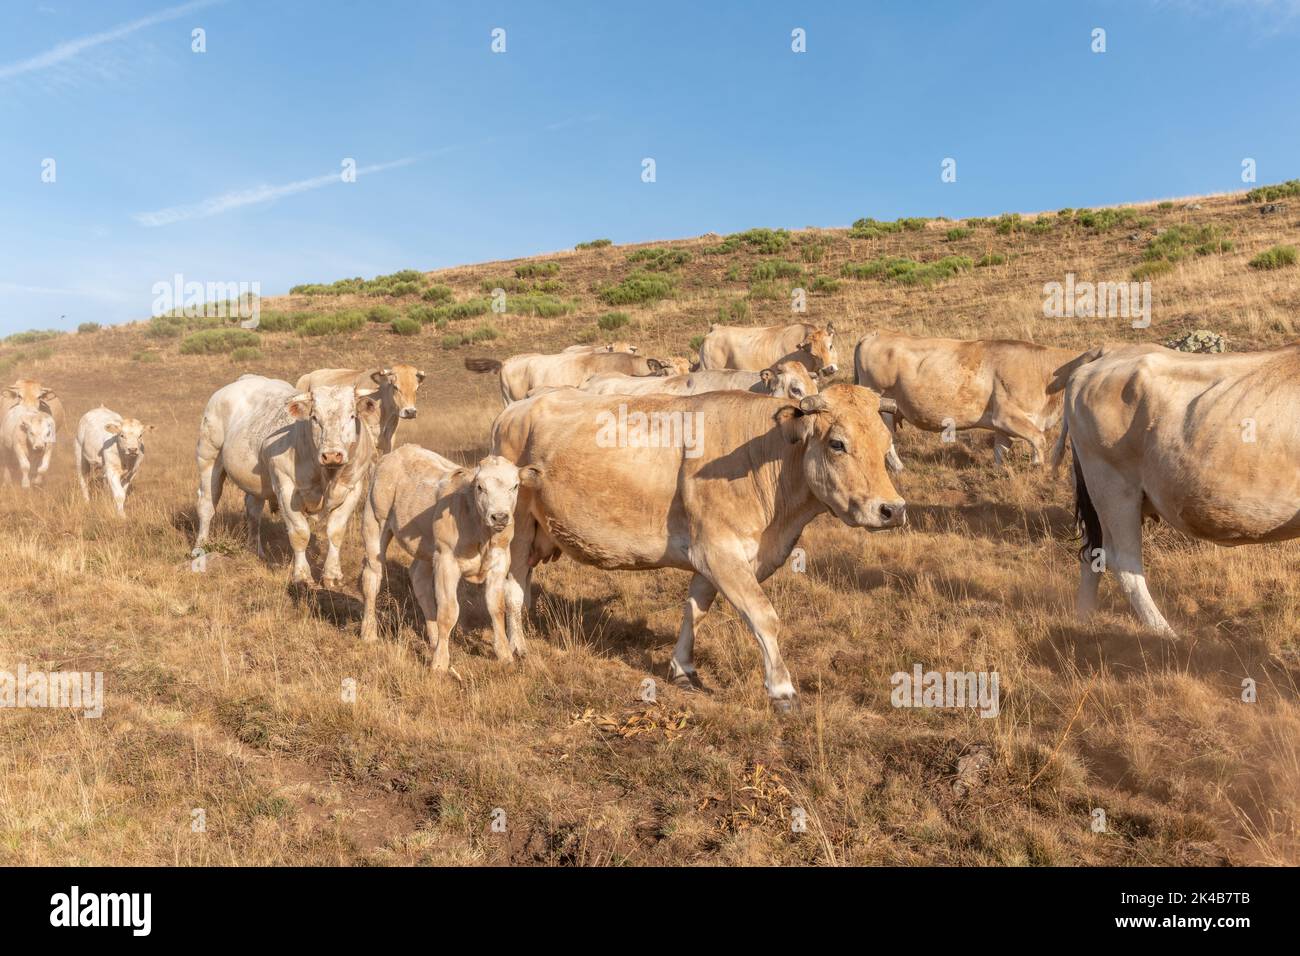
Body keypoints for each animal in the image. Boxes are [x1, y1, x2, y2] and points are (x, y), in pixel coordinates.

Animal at [194, 375, 381, 587]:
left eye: (351, 416)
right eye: (314, 417)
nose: (332, 455)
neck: (327, 477)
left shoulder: (353, 489)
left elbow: (336, 532)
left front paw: (332, 575)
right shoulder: (286, 488)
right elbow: (300, 533)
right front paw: (302, 576)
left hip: (256, 482)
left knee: (253, 510)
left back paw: (255, 551)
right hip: (208, 457)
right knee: (207, 505)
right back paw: (200, 548)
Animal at [359, 445, 542, 668]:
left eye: (515, 486)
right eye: (480, 487)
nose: (499, 517)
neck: (481, 532)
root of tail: (398, 452)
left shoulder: (499, 563)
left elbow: (496, 607)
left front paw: (505, 654)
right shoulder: (447, 562)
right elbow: (448, 612)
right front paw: (440, 662)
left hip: (427, 547)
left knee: (419, 579)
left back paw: (433, 638)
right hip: (375, 523)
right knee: (372, 577)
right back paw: (369, 633)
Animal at [491, 383, 904, 708]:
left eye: (886, 444)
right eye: (837, 443)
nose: (893, 509)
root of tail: (516, 408)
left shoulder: (711, 557)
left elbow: (695, 610)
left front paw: (683, 669)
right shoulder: (720, 552)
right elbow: (763, 616)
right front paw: (782, 689)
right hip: (515, 526)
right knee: (511, 590)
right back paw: (518, 649)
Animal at [854, 331, 1098, 469]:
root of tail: (874, 335)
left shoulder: (1003, 426)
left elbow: (1001, 451)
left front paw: (1001, 473)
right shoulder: (1007, 416)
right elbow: (1039, 440)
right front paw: (1037, 466)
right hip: (880, 404)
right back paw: (898, 468)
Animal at [1056, 342, 1300, 636]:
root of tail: (1108, 353)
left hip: (1098, 495)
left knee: (1093, 553)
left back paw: (1084, 621)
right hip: (1113, 488)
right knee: (1123, 561)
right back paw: (1166, 634)